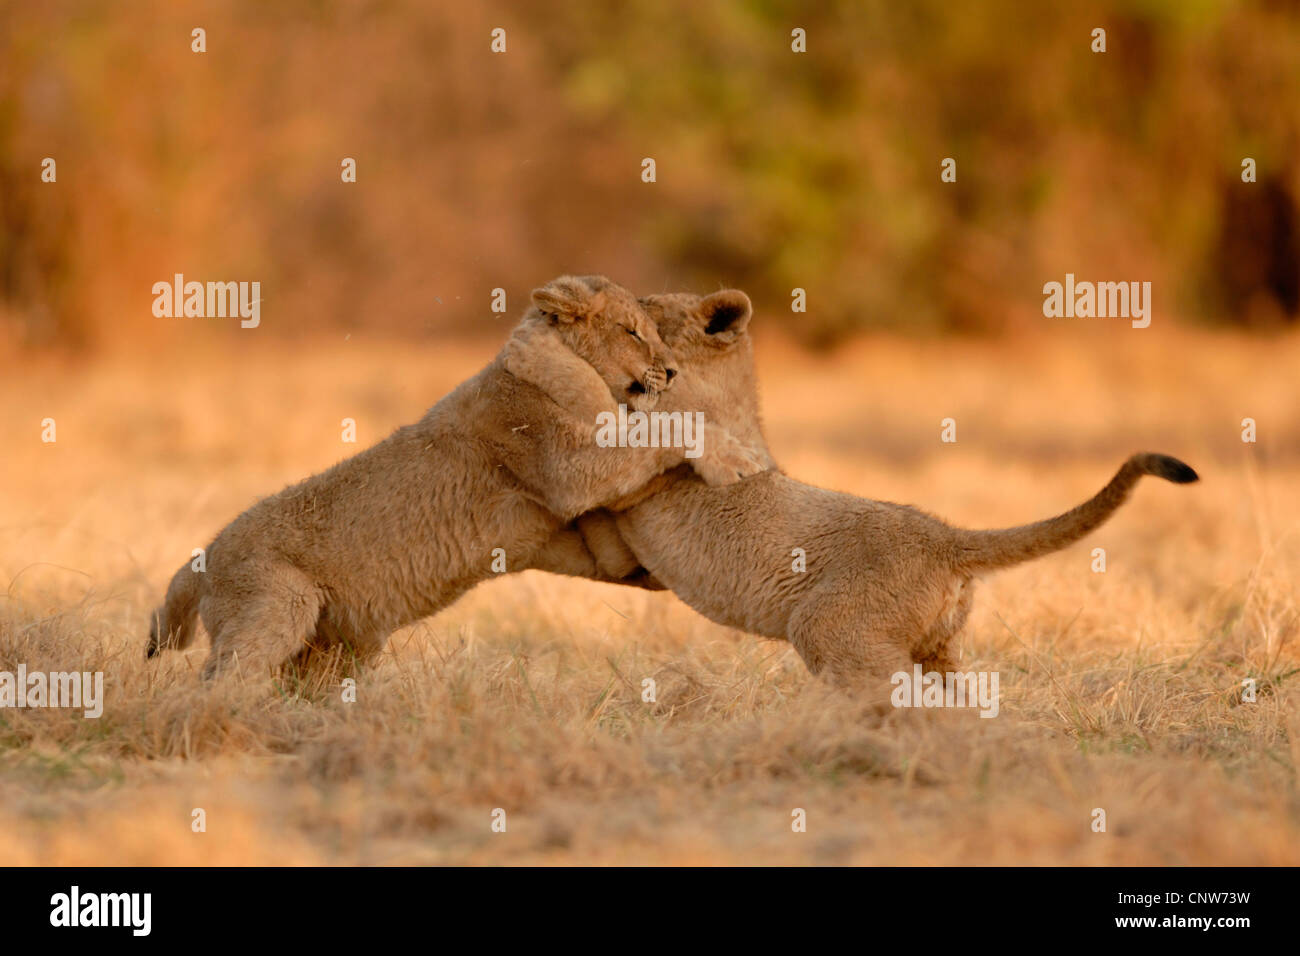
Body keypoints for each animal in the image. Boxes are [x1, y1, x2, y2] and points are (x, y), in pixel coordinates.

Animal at [146, 274, 766, 678]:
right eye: (634, 332)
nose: (672, 371)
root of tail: (202, 558)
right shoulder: (567, 465)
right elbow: (662, 430)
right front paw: (736, 459)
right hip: (279, 603)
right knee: (219, 680)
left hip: (332, 649)